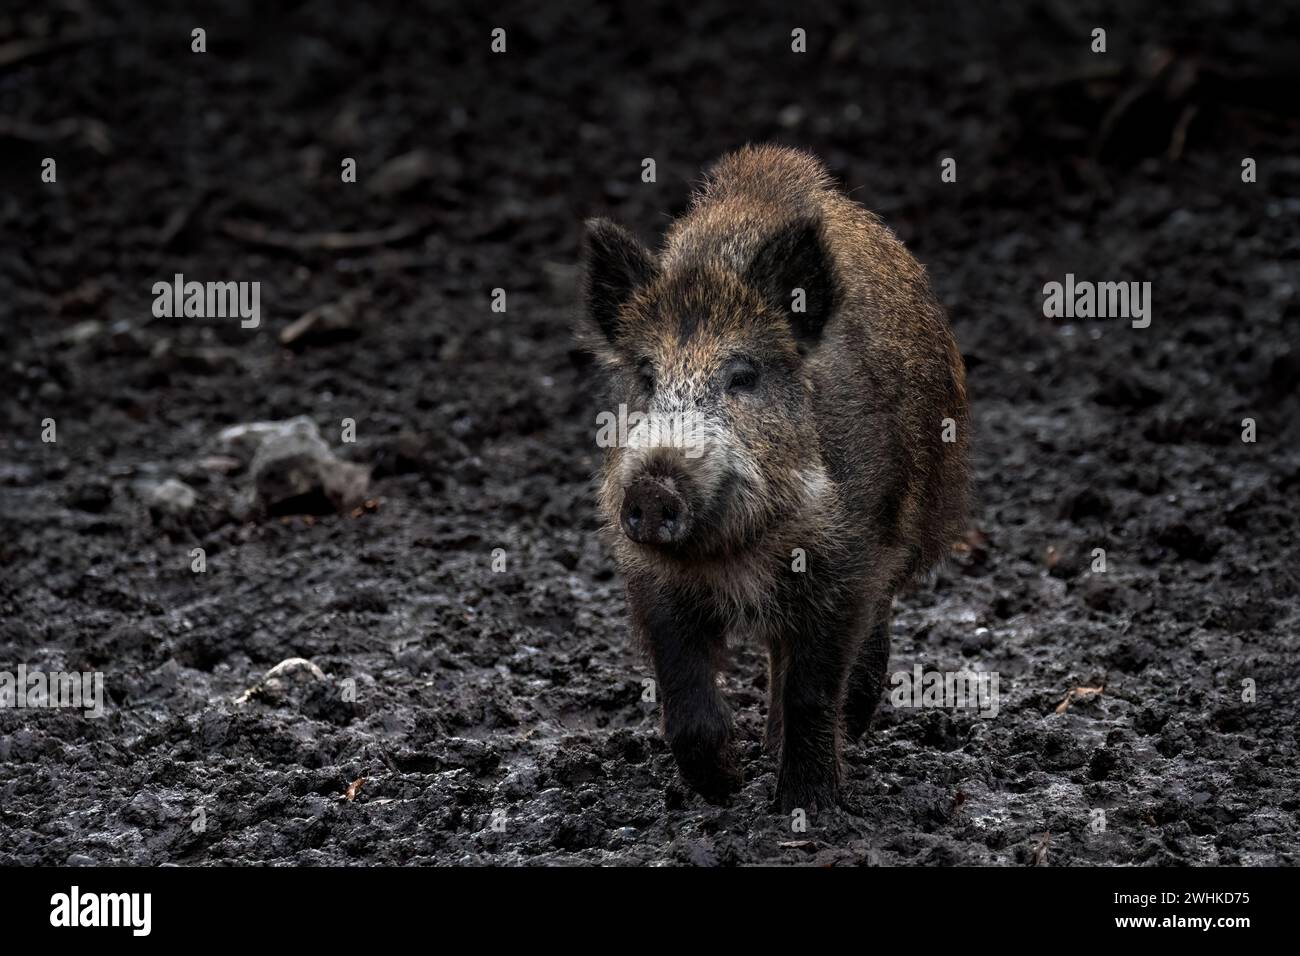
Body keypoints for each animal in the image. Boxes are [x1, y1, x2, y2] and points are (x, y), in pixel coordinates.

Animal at [578, 145, 969, 813]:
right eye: (647, 376)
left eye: (743, 374)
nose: (654, 488)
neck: (739, 550)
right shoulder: (649, 576)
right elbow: (683, 693)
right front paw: (724, 790)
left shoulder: (847, 555)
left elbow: (814, 685)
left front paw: (806, 807)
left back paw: (843, 732)